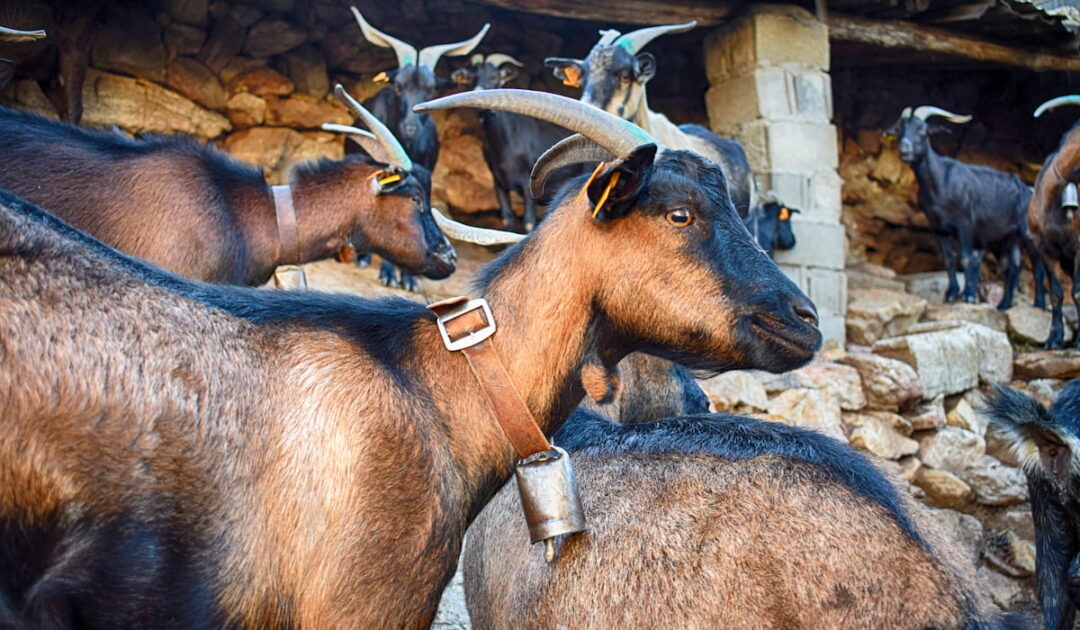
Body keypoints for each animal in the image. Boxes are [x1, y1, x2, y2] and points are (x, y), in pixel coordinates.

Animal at [349, 7, 488, 289]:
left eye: (431, 89)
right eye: (397, 86)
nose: (410, 127)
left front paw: (409, 278)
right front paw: (389, 274)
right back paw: (363, 257)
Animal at [451, 53, 577, 232]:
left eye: (494, 77)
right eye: (471, 78)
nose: (478, 96)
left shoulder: (528, 185)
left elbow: (529, 222)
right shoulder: (499, 184)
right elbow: (507, 219)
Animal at [885, 106, 1046, 310]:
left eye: (923, 131)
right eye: (899, 131)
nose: (904, 149)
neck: (940, 183)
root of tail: (1029, 189)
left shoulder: (965, 224)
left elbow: (966, 258)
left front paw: (968, 296)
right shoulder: (938, 227)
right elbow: (949, 258)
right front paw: (951, 293)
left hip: (1027, 234)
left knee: (1037, 266)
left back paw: (1039, 304)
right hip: (1009, 238)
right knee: (1013, 267)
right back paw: (1004, 304)